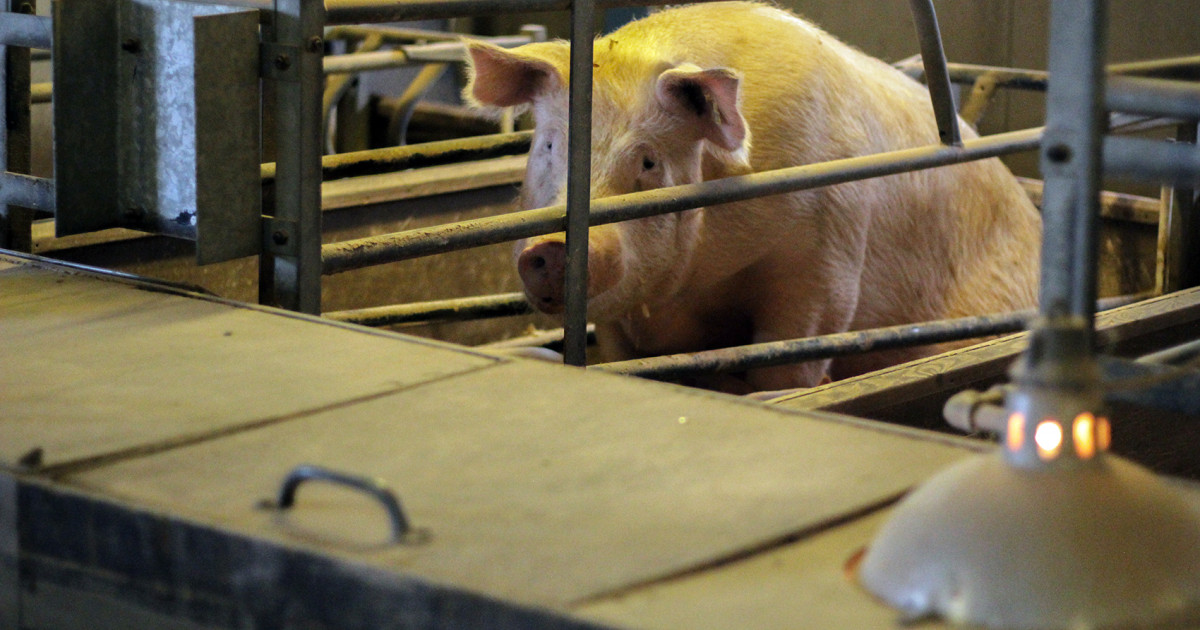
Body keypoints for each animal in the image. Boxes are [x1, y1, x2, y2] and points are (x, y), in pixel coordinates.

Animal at [464, 1, 1041, 393]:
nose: (548, 248)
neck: (698, 282)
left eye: (649, 161)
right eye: (549, 144)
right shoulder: (617, 320)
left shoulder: (826, 260)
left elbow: (790, 359)